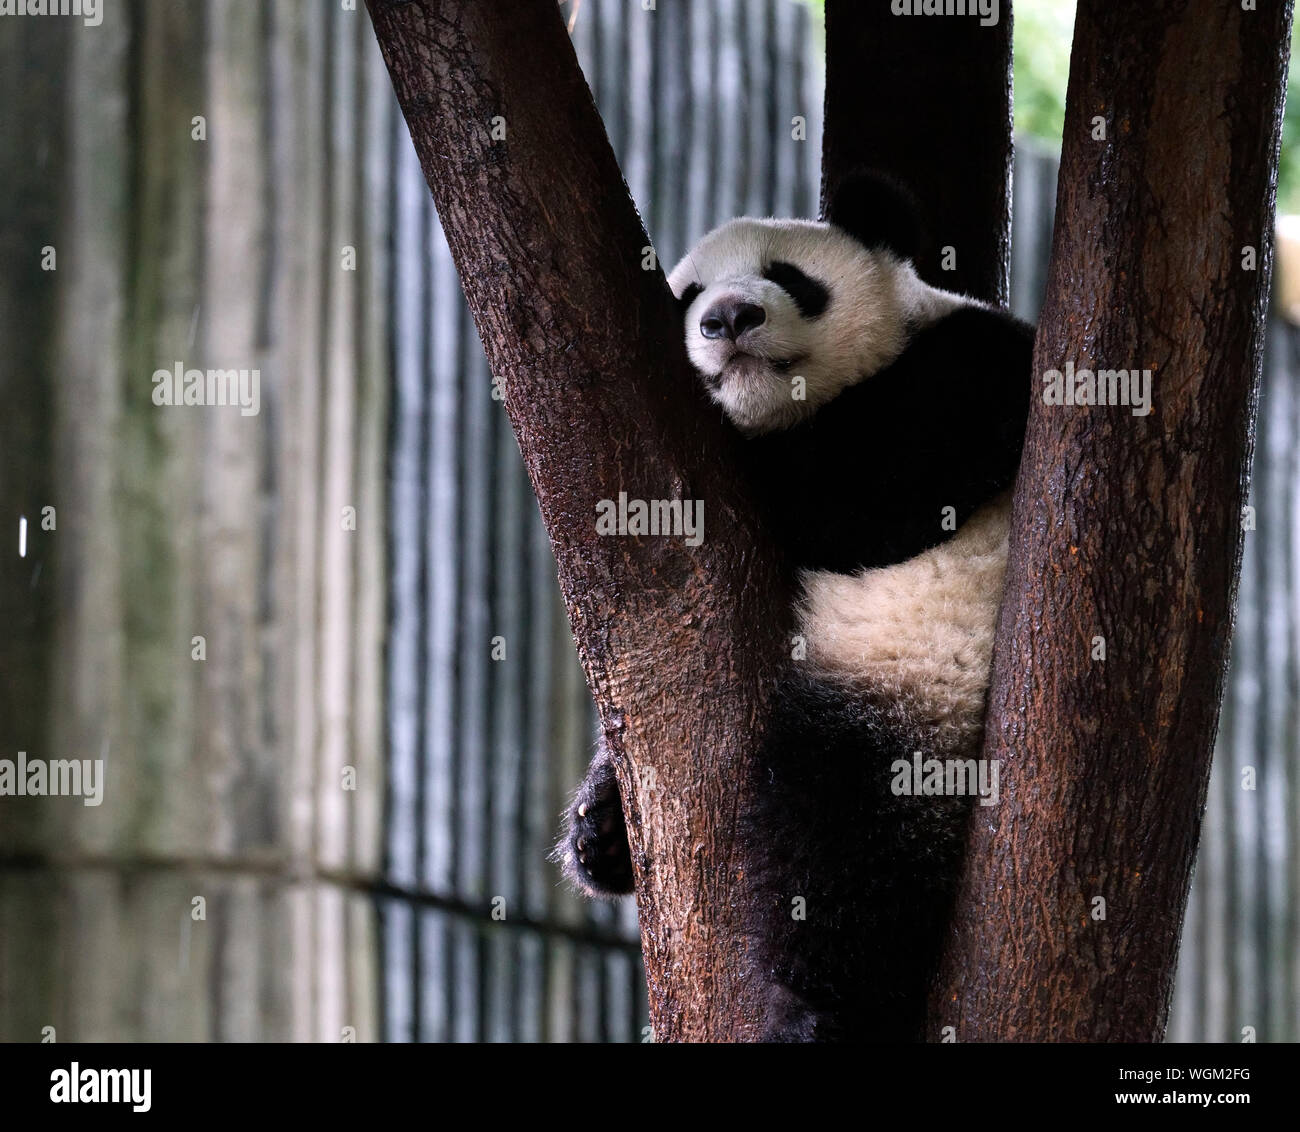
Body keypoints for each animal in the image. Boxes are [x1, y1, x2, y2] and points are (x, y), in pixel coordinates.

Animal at [558, 172, 1034, 1042]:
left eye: (789, 278)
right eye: (688, 298)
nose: (727, 319)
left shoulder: (977, 368)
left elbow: (867, 489)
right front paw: (597, 832)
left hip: (924, 703)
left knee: (846, 844)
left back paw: (821, 1012)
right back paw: (604, 830)